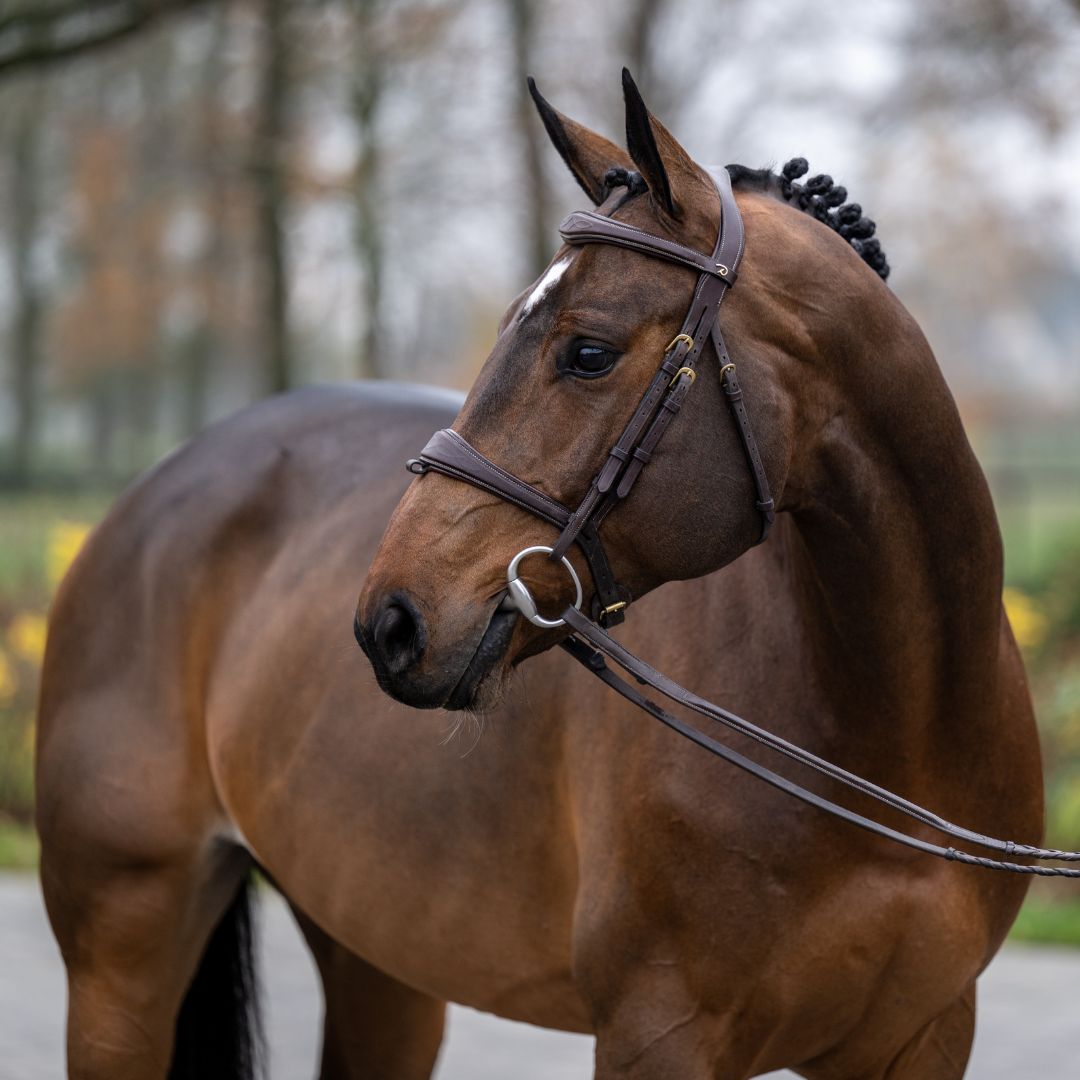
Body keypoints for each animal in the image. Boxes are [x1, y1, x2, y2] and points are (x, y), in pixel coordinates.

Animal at [36, 72, 1042, 1079]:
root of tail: (152, 492)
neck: (894, 739)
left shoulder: (927, 1034)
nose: (390, 621)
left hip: (378, 956)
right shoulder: (656, 1034)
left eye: (587, 351)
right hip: (124, 953)